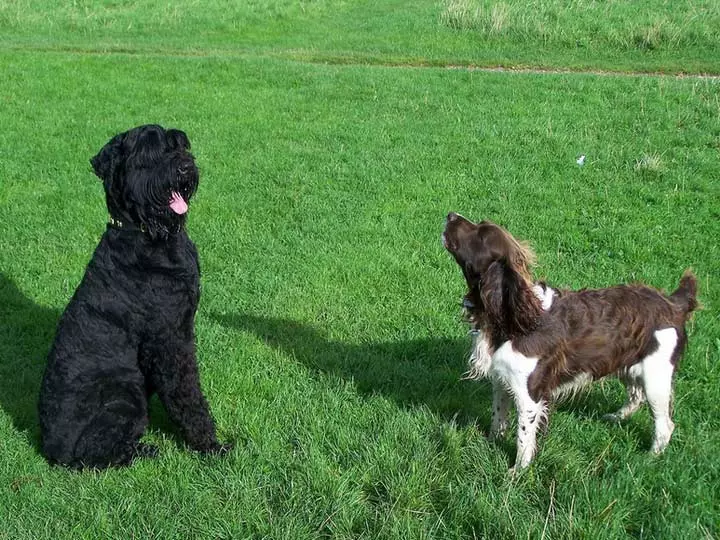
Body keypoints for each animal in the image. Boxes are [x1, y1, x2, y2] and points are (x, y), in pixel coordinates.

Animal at [38, 125, 231, 468]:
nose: (185, 167)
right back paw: (144, 451)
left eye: (178, 145)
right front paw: (210, 445)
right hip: (126, 394)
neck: (146, 236)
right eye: (148, 155)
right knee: (94, 452)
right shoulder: (168, 340)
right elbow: (186, 392)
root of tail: (50, 449)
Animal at [442, 211, 696, 468]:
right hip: (630, 365)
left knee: (664, 424)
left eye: (482, 235)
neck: (512, 317)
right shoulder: (502, 380)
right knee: (636, 397)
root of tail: (674, 304)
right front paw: (491, 444)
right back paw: (616, 417)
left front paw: (517, 471)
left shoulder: (529, 393)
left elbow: (523, 438)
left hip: (657, 377)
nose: (451, 215)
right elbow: (498, 418)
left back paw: (649, 457)